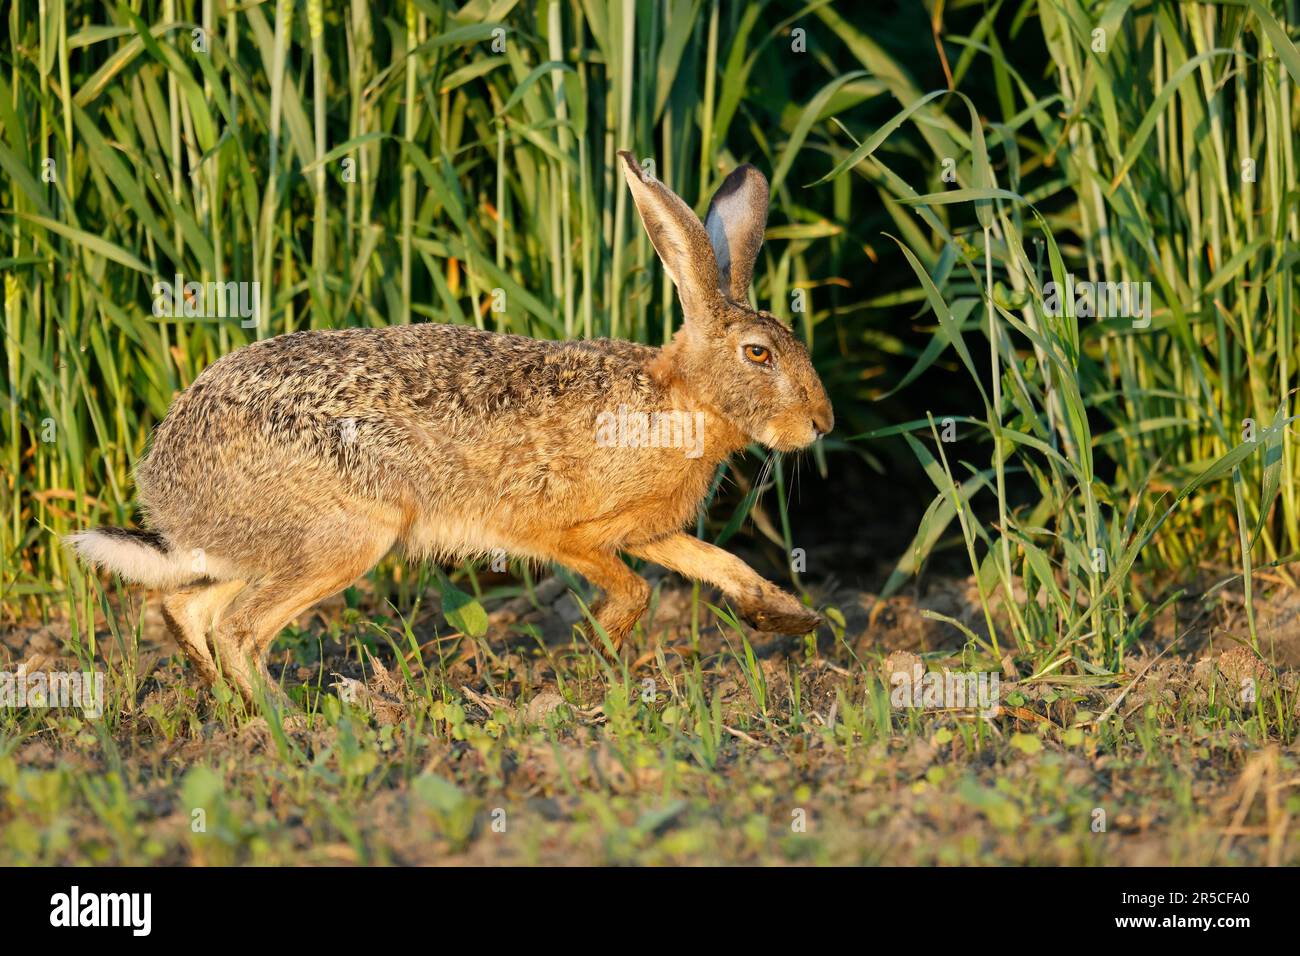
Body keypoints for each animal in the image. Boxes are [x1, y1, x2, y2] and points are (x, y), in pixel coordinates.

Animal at [67, 150, 834, 703]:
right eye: (759, 354)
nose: (820, 423)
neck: (682, 401)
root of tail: (165, 481)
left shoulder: (646, 530)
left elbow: (718, 563)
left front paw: (788, 617)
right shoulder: (564, 534)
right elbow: (634, 587)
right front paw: (604, 644)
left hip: (273, 547)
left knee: (188, 607)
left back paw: (234, 704)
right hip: (347, 533)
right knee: (239, 627)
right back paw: (293, 721)